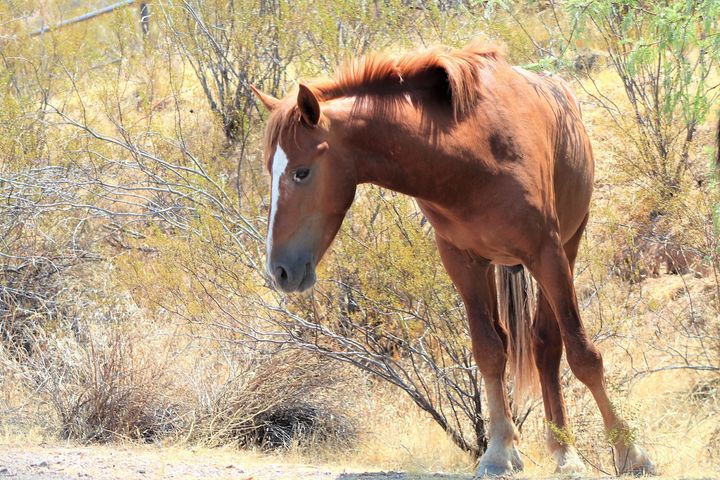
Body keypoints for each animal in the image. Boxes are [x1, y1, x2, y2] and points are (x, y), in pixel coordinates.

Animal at [252, 42, 655, 477]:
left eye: (302, 172)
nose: (280, 271)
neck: (469, 157)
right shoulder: (463, 262)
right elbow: (489, 351)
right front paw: (499, 451)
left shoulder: (546, 252)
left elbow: (583, 354)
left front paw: (630, 452)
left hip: (567, 246)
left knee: (548, 344)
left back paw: (566, 452)